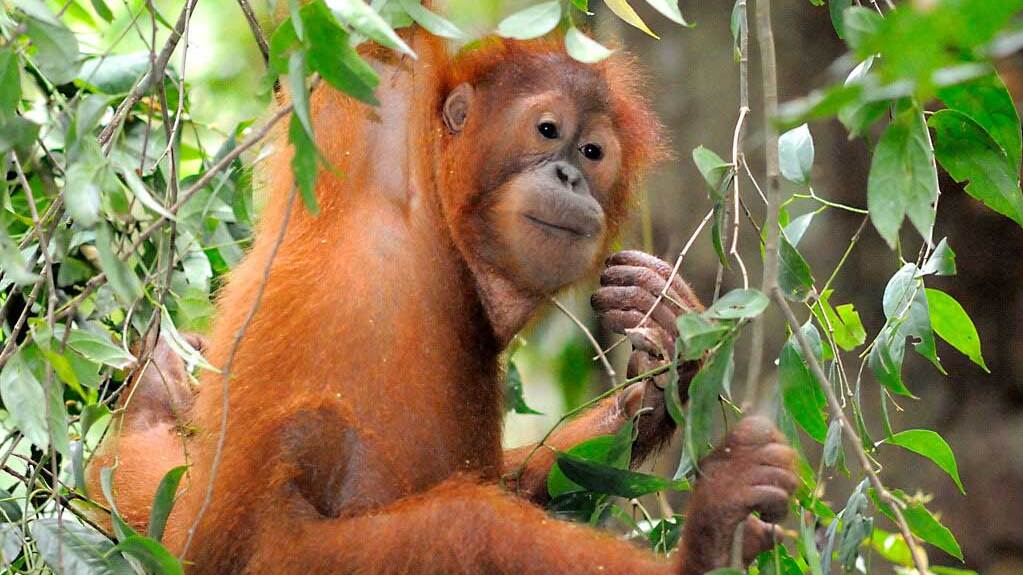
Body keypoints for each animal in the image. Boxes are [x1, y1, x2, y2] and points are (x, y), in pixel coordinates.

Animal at [87, 27, 797, 575]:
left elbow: (543, 477)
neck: (448, 234)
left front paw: (664, 350)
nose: (570, 175)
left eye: (593, 152)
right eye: (548, 130)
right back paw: (710, 544)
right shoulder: (381, 111)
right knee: (467, 527)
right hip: (285, 558)